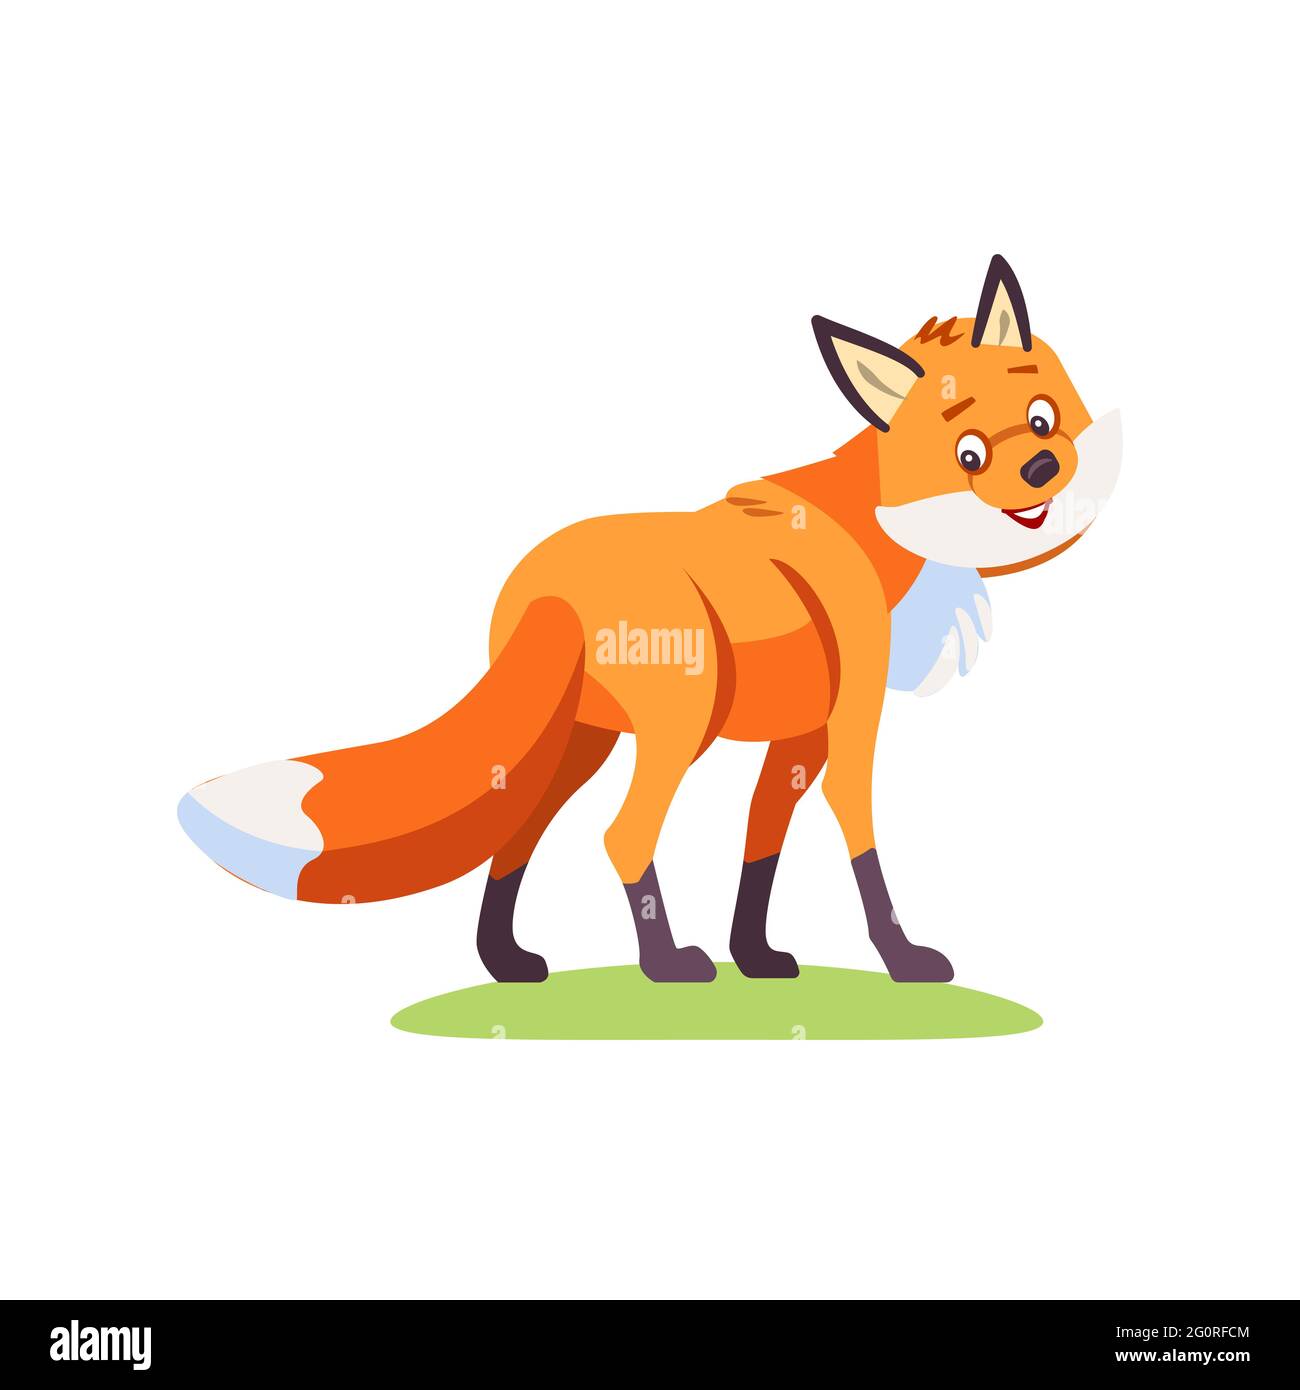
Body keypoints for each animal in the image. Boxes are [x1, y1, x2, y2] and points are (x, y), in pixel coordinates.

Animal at [179, 254, 1120, 985]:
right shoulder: (850, 720)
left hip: (578, 741)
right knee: (621, 836)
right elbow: (860, 842)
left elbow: (761, 843)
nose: (1044, 468)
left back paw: (507, 963)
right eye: (969, 456)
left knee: (520, 832)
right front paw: (902, 960)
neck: (872, 526)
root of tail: (546, 586)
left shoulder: (796, 739)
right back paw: (665, 964)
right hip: (676, 728)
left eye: (1042, 417)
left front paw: (760, 958)